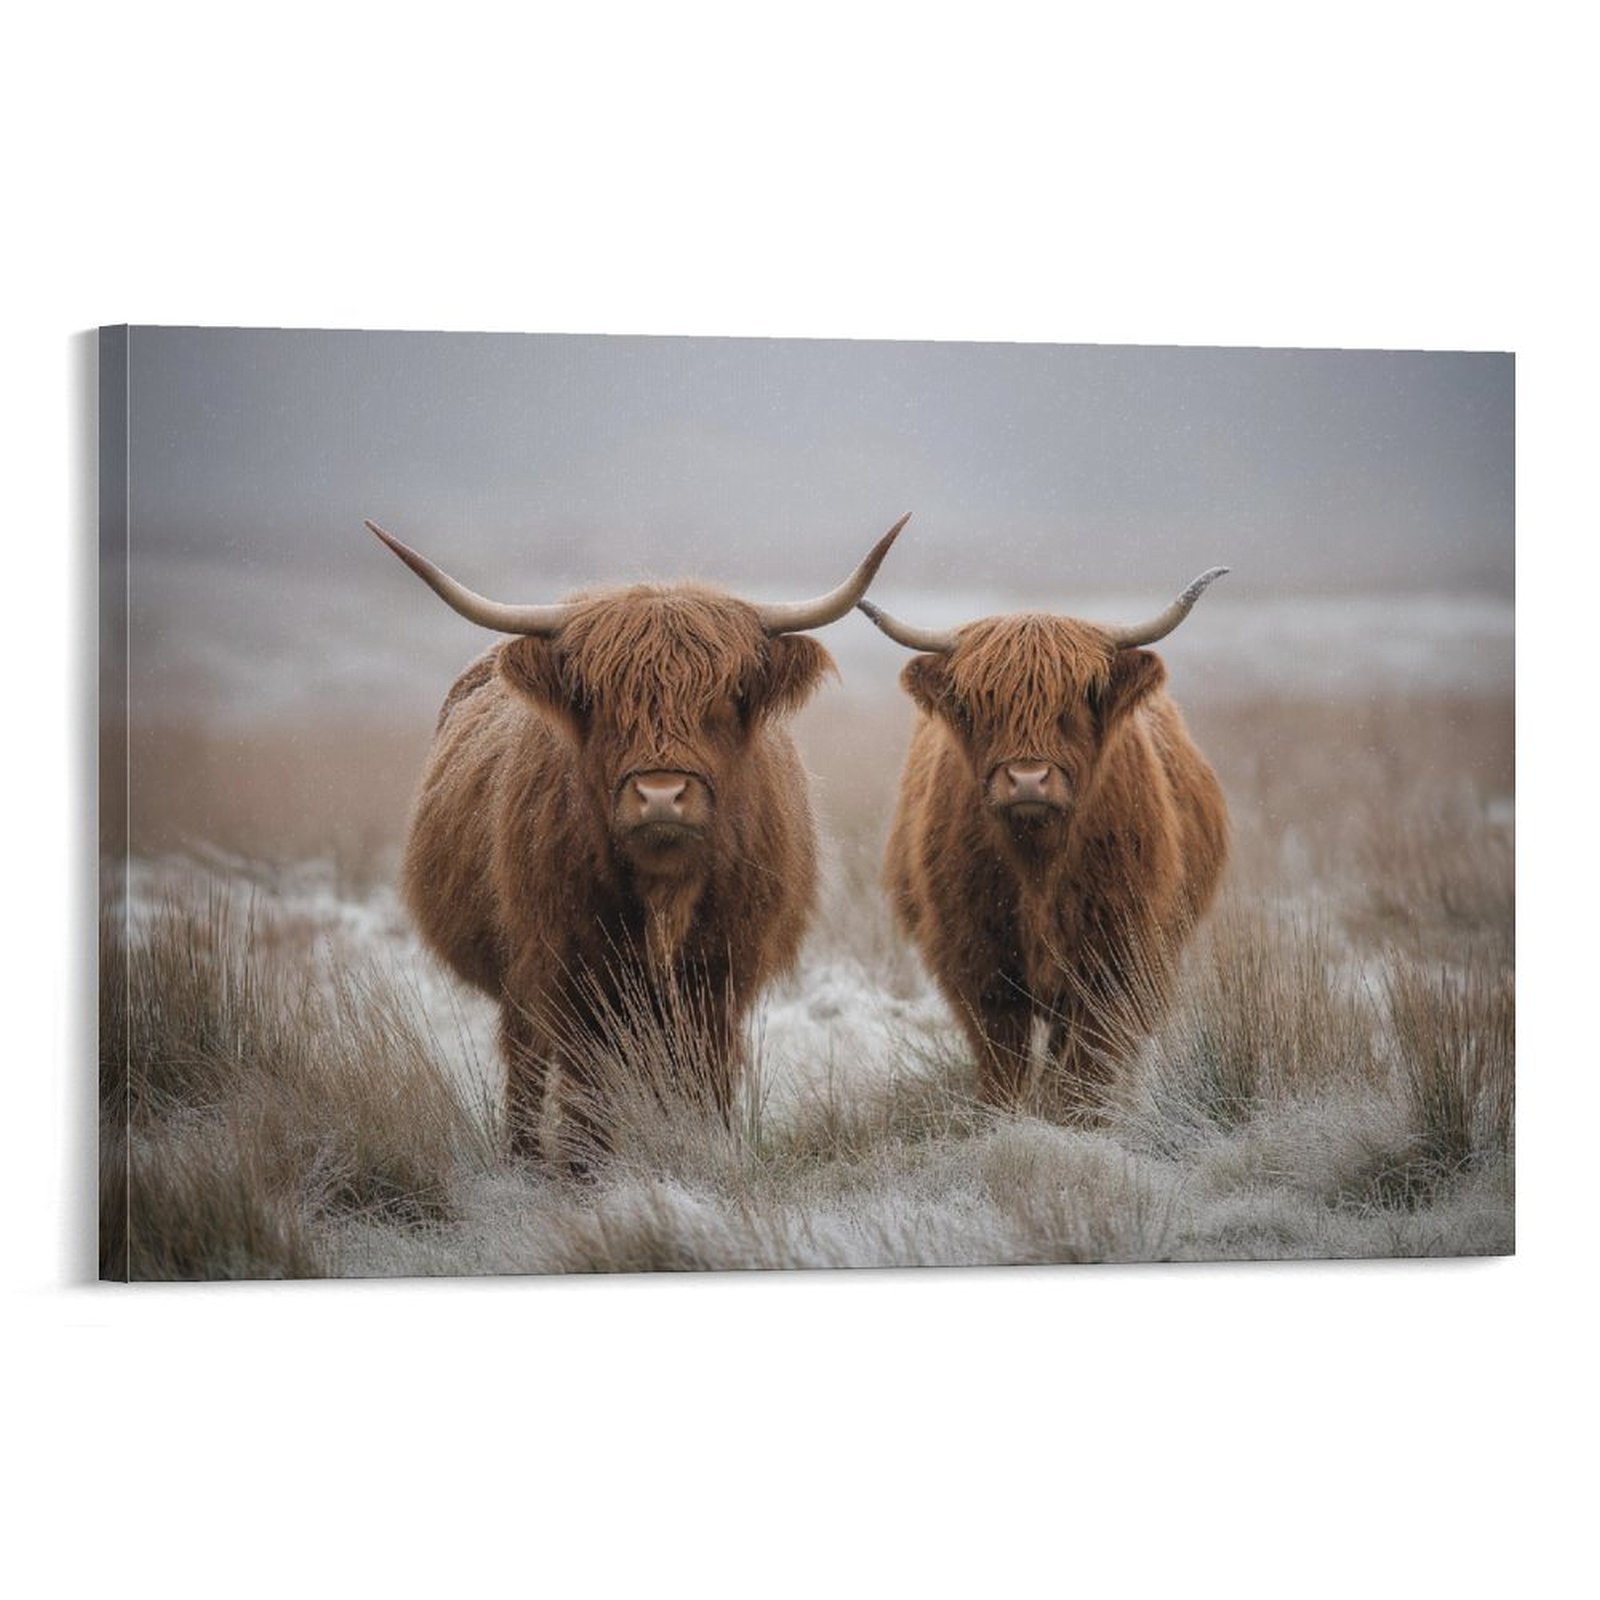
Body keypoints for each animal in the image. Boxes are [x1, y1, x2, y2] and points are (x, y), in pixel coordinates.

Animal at [370, 515, 909, 1166]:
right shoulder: (569, 973)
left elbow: (702, 1076)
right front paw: (584, 1169)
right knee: (526, 1067)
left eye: (722, 700)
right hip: (520, 981)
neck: (664, 892)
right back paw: (523, 1156)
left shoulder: (717, 976)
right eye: (595, 701)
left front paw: (701, 1148)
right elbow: (588, 1086)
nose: (660, 794)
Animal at [859, 570, 1229, 1116]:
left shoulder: (1116, 959)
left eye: (1078, 699)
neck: (1038, 866)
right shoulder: (975, 958)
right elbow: (1002, 1055)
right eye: (982, 703)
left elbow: (1089, 1059)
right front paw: (1004, 1114)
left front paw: (1078, 1118)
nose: (1028, 779)